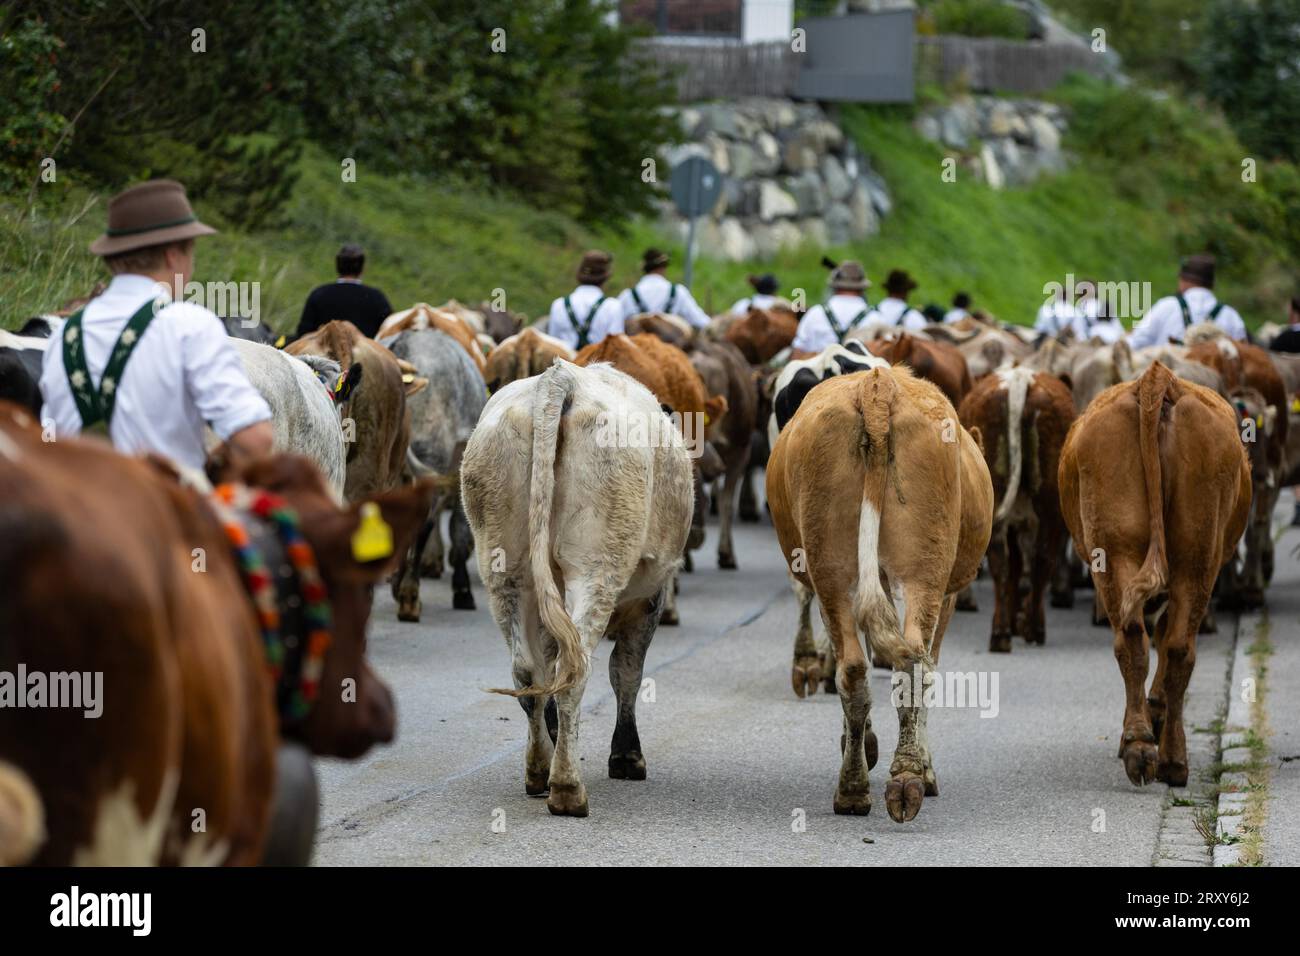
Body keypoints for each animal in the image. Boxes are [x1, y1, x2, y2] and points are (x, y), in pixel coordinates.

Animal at [459, 361, 693, 817]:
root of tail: (561, 377)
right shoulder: (650, 600)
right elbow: (627, 672)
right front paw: (627, 756)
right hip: (594, 569)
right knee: (575, 670)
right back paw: (567, 788)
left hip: (506, 572)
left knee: (528, 672)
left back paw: (539, 771)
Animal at [767, 366, 993, 821]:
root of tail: (877, 384)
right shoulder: (947, 595)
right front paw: (924, 767)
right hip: (925, 574)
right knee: (915, 665)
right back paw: (903, 777)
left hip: (831, 567)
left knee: (856, 668)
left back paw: (859, 787)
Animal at [959, 367, 1076, 651]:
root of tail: (1022, 377)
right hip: (1050, 510)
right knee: (1040, 561)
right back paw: (1032, 628)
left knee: (1004, 563)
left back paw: (1001, 633)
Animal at [1059, 362, 1250, 787]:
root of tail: (1158, 379)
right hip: (1196, 559)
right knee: (1170, 644)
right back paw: (1166, 756)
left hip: (1121, 553)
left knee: (1142, 639)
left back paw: (1146, 748)